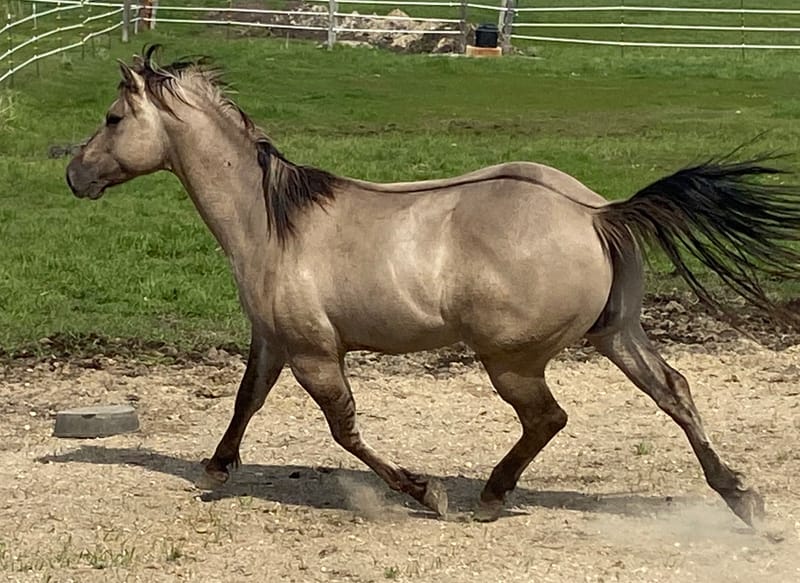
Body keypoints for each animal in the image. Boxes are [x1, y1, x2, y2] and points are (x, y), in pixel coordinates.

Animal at [66, 46, 800, 527]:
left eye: (111, 118)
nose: (74, 175)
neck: (272, 221)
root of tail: (597, 213)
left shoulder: (313, 352)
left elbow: (344, 430)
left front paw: (424, 493)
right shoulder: (273, 340)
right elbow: (246, 400)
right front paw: (217, 467)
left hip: (512, 358)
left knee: (548, 417)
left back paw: (491, 497)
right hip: (616, 333)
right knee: (673, 389)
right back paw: (741, 497)